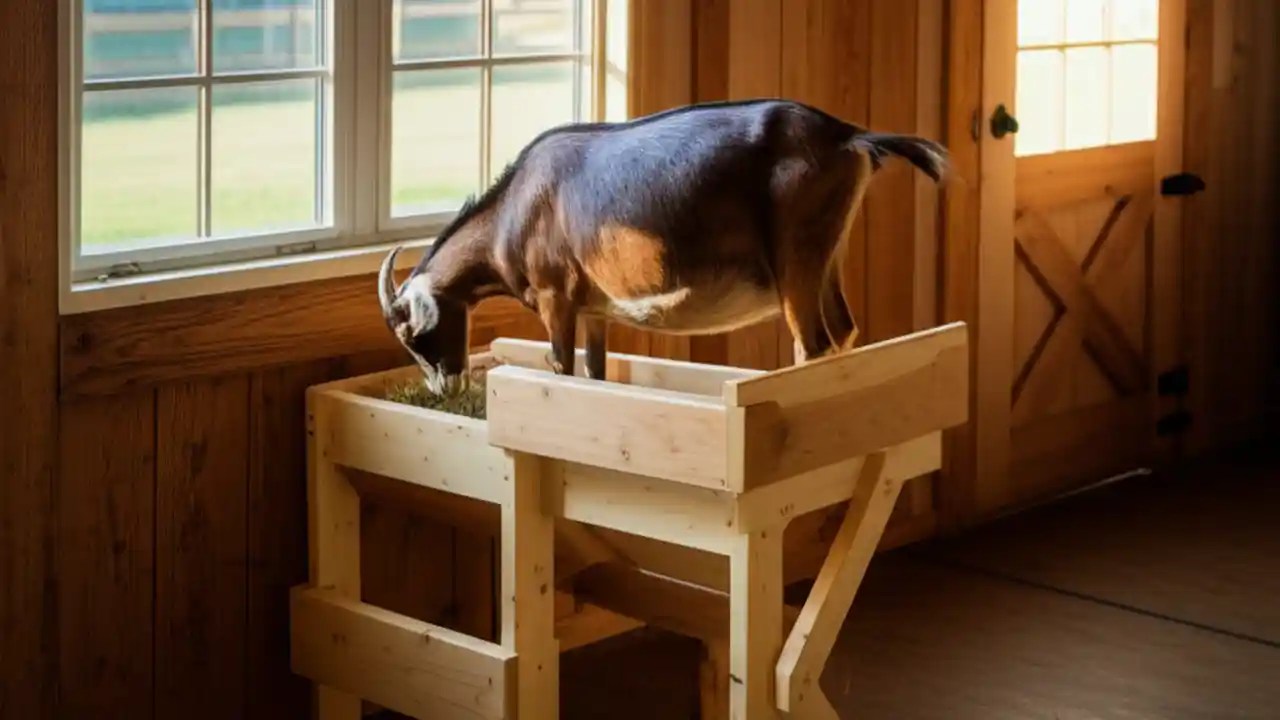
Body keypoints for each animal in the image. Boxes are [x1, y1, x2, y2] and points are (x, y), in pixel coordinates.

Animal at [378, 98, 948, 394]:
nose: (446, 389)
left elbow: (562, 367)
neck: (516, 208)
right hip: (828, 256)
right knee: (844, 332)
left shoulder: (555, 299)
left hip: (797, 264)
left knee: (814, 344)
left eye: (412, 334)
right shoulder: (595, 310)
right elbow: (596, 371)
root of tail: (849, 136)